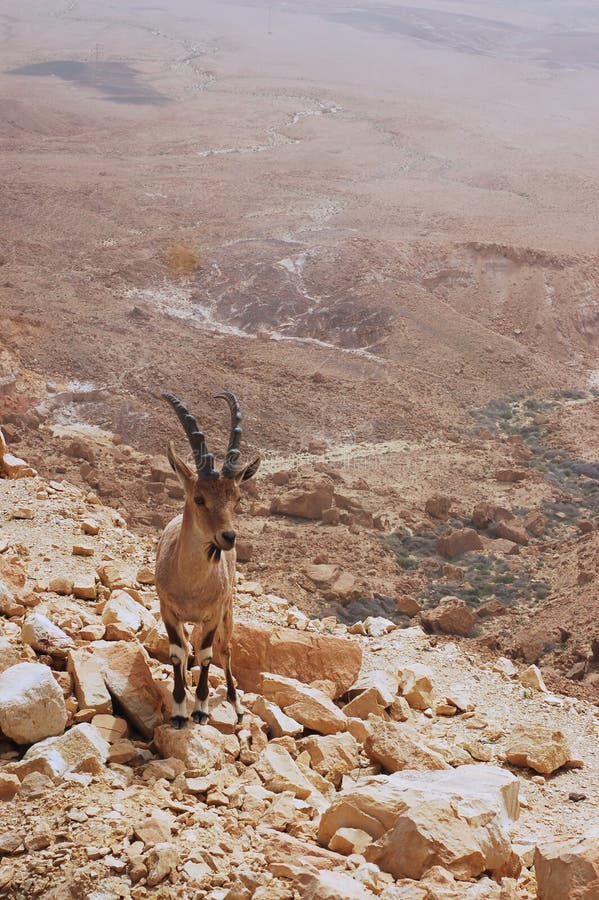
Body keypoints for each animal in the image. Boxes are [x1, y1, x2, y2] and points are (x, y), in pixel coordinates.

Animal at [155, 391, 260, 728]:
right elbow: (178, 652)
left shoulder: (213, 614)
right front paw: (179, 710)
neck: (190, 584)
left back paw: (235, 704)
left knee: (225, 651)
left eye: (237, 498)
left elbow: (207, 655)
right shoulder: (168, 610)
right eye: (199, 498)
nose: (228, 537)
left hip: (228, 610)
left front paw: (200, 709)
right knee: (189, 645)